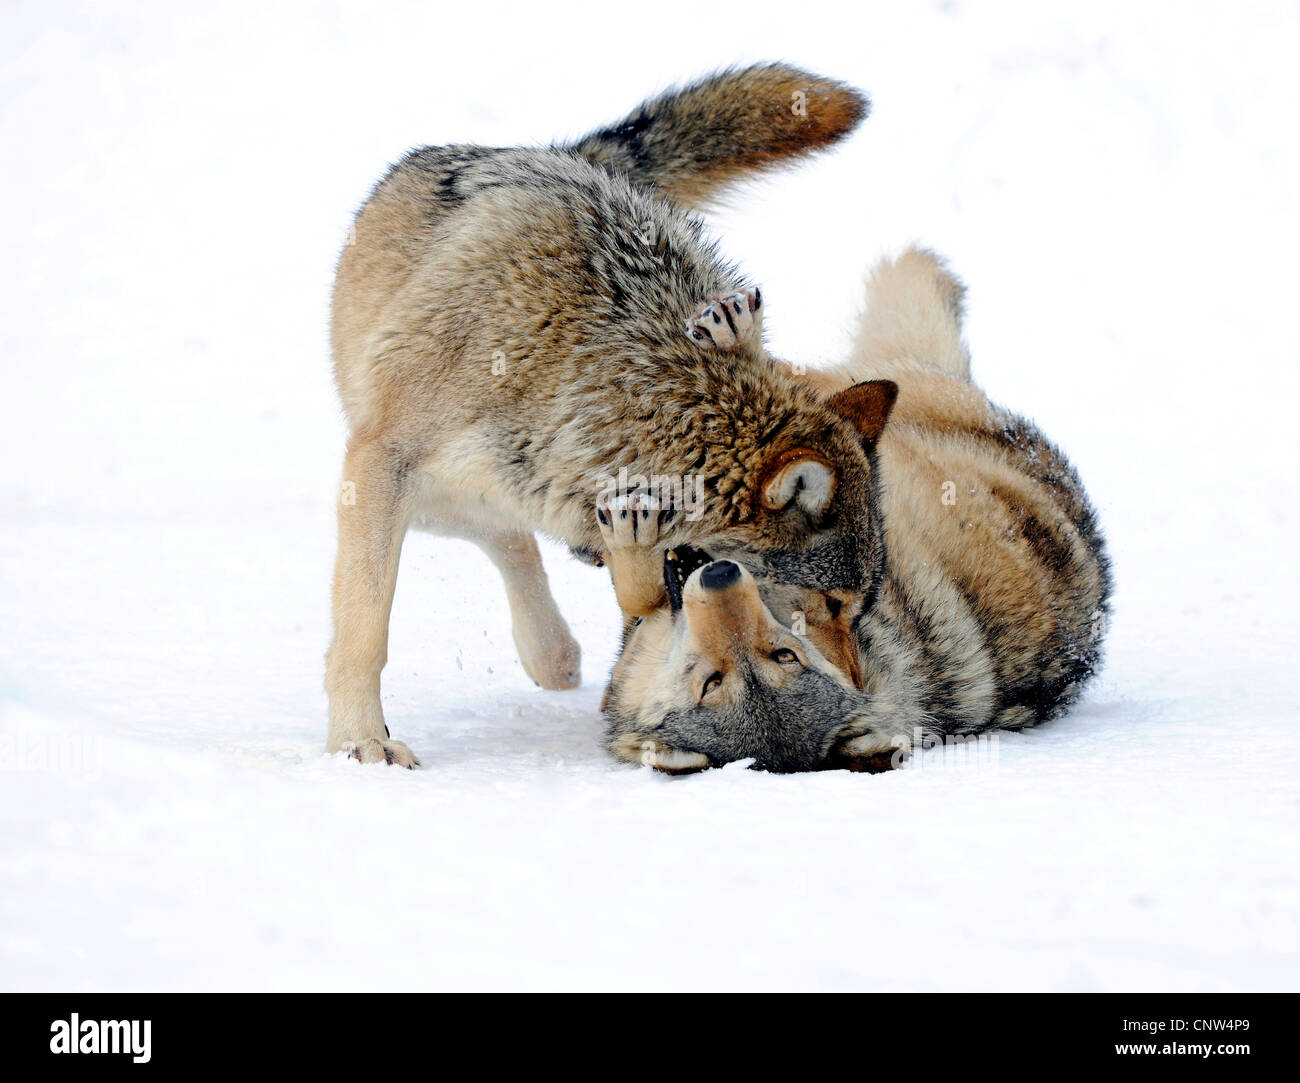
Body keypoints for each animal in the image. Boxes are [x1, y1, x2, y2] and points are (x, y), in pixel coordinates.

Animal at [326, 64, 894, 765]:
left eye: (861, 605)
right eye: (832, 603)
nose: (859, 689)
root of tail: (555, 152)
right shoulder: (383, 467)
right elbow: (365, 629)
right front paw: (360, 743)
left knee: (516, 538)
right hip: (419, 488)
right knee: (503, 535)